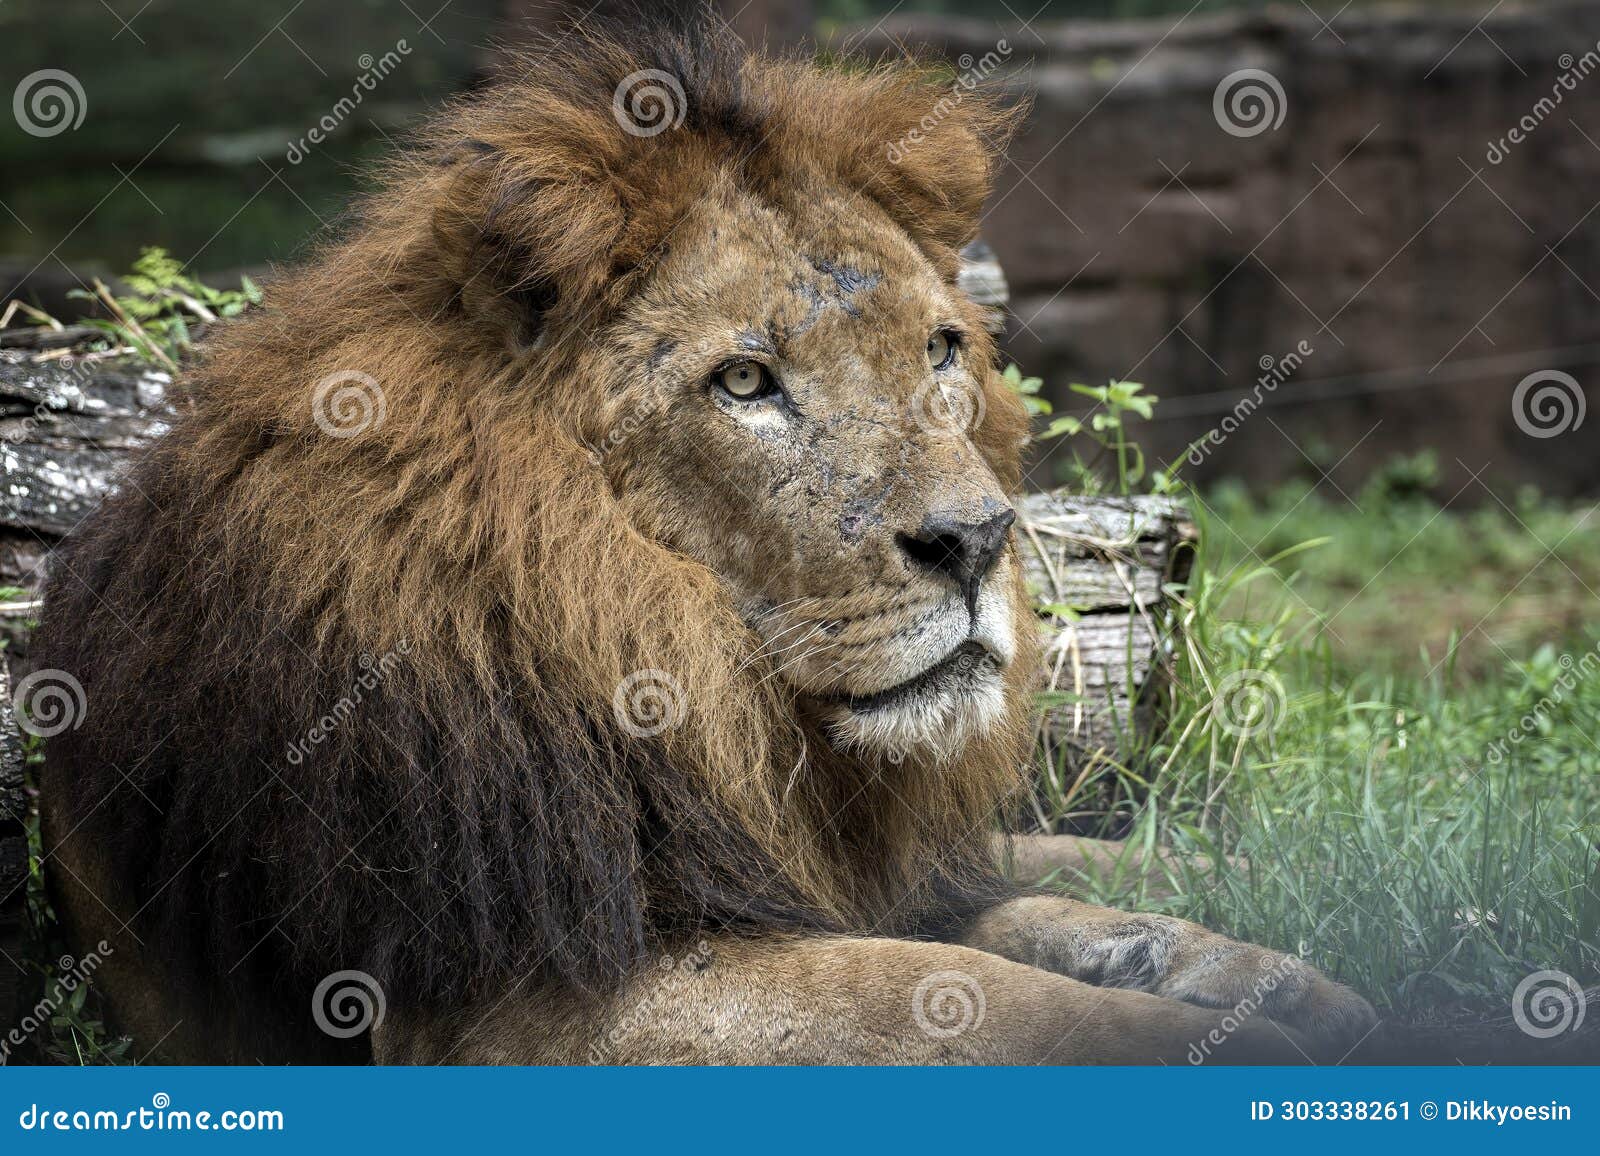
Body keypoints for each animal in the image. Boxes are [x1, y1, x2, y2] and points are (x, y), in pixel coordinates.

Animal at [33, 16, 1374, 1065]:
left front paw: (1285, 978)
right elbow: (965, 1004)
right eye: (743, 382)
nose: (979, 539)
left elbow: (1056, 916)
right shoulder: (515, 1007)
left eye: (941, 349)